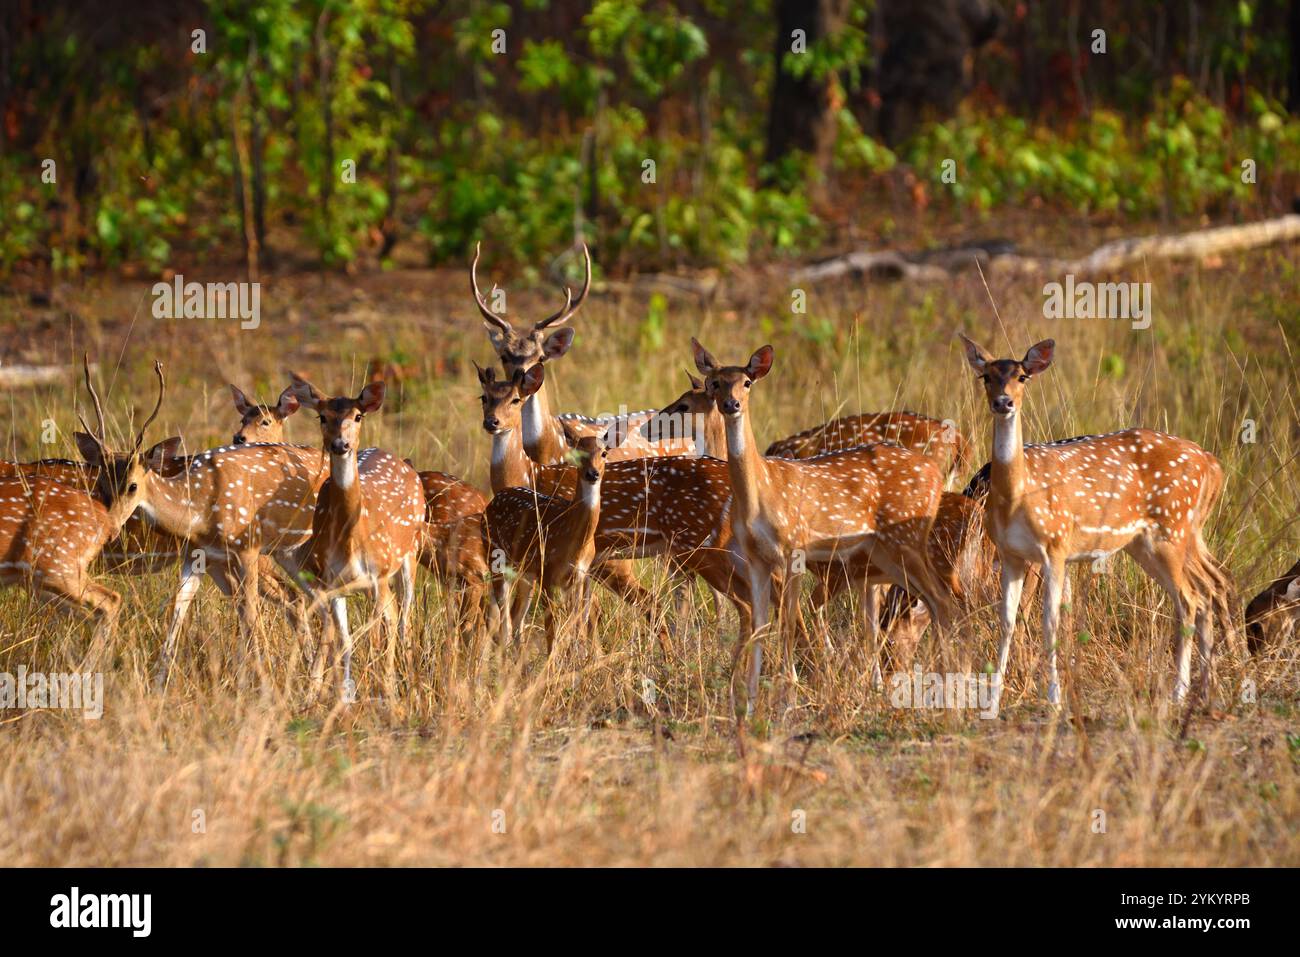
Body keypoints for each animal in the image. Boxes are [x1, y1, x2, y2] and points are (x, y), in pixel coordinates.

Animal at [288, 372, 425, 700]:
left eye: (358, 416)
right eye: (322, 416)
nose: (340, 444)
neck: (350, 538)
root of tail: (405, 463)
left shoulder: (379, 573)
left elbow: (382, 627)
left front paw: (385, 690)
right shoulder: (331, 579)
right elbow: (345, 640)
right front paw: (343, 696)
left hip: (410, 553)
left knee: (403, 619)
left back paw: (405, 683)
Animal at [692, 339, 958, 710]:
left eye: (747, 382)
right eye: (714, 382)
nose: (731, 404)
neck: (761, 492)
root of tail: (935, 473)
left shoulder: (793, 548)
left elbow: (788, 623)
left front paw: (788, 695)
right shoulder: (756, 558)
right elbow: (760, 625)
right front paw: (750, 700)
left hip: (907, 537)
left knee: (941, 600)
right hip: (885, 553)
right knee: (920, 606)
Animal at [958, 333, 1234, 711]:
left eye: (1022, 377)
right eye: (986, 376)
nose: (1004, 402)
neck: (1017, 494)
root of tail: (1213, 465)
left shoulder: (1056, 546)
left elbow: (1050, 624)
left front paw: (1055, 698)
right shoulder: (1011, 554)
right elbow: (1007, 622)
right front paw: (994, 700)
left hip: (1172, 529)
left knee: (1191, 598)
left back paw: (1180, 692)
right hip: (1148, 543)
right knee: (1204, 591)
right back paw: (1204, 690)